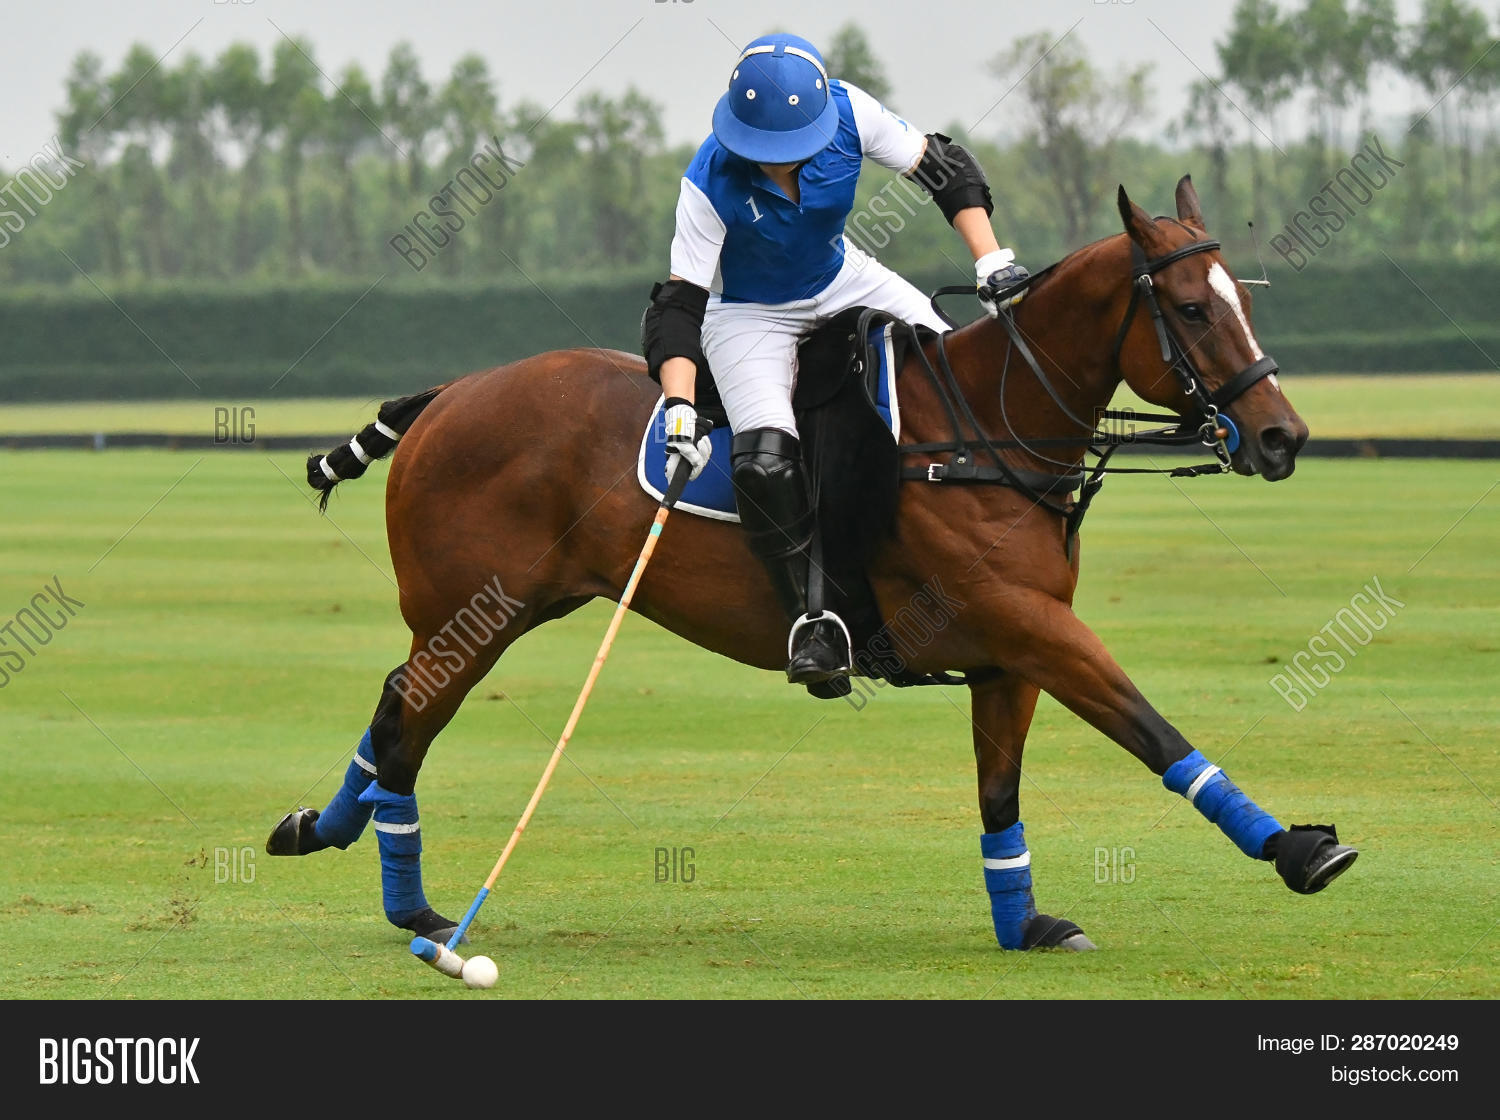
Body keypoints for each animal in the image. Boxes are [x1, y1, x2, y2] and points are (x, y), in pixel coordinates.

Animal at [267, 176, 1356, 954]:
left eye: (1241, 301)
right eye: (1191, 308)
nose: (1282, 436)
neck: (984, 432)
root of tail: (450, 393)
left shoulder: (1009, 654)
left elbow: (1000, 790)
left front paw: (1025, 922)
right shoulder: (1026, 622)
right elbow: (1150, 725)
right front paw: (1301, 849)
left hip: (499, 605)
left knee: (395, 702)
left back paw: (319, 829)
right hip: (479, 608)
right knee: (409, 716)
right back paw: (415, 912)